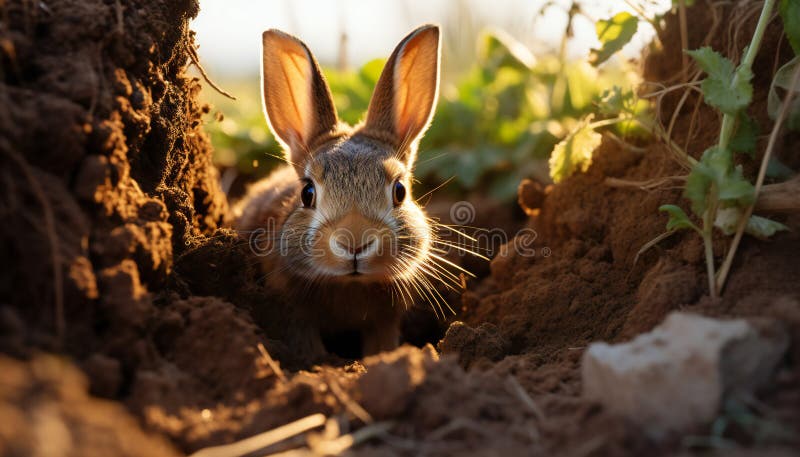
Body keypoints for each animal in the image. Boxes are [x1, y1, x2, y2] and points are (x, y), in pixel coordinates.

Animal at [234, 25, 445, 358]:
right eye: (307, 193)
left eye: (399, 191)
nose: (354, 243)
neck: (350, 284)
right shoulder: (294, 313)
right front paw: (319, 362)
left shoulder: (385, 321)